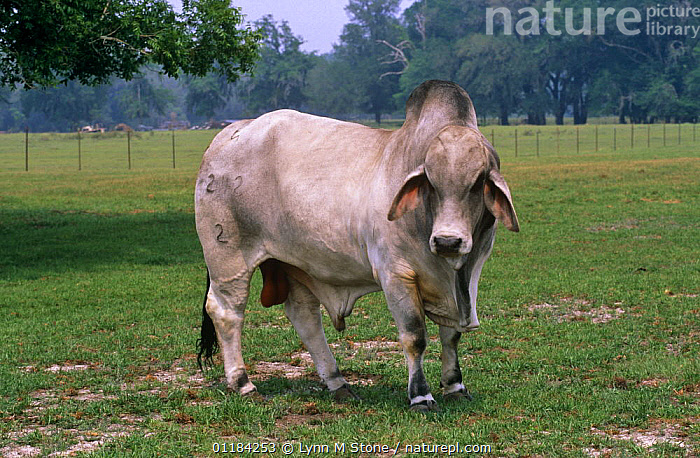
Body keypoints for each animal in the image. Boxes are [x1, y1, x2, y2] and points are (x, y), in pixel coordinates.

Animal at [194, 80, 519, 411]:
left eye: (478, 182)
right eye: (429, 180)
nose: (447, 241)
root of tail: (229, 134)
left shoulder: (463, 281)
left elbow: (451, 335)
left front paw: (455, 386)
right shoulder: (395, 274)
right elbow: (414, 336)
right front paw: (420, 395)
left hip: (295, 261)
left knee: (305, 317)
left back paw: (337, 382)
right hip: (228, 257)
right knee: (226, 311)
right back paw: (243, 383)